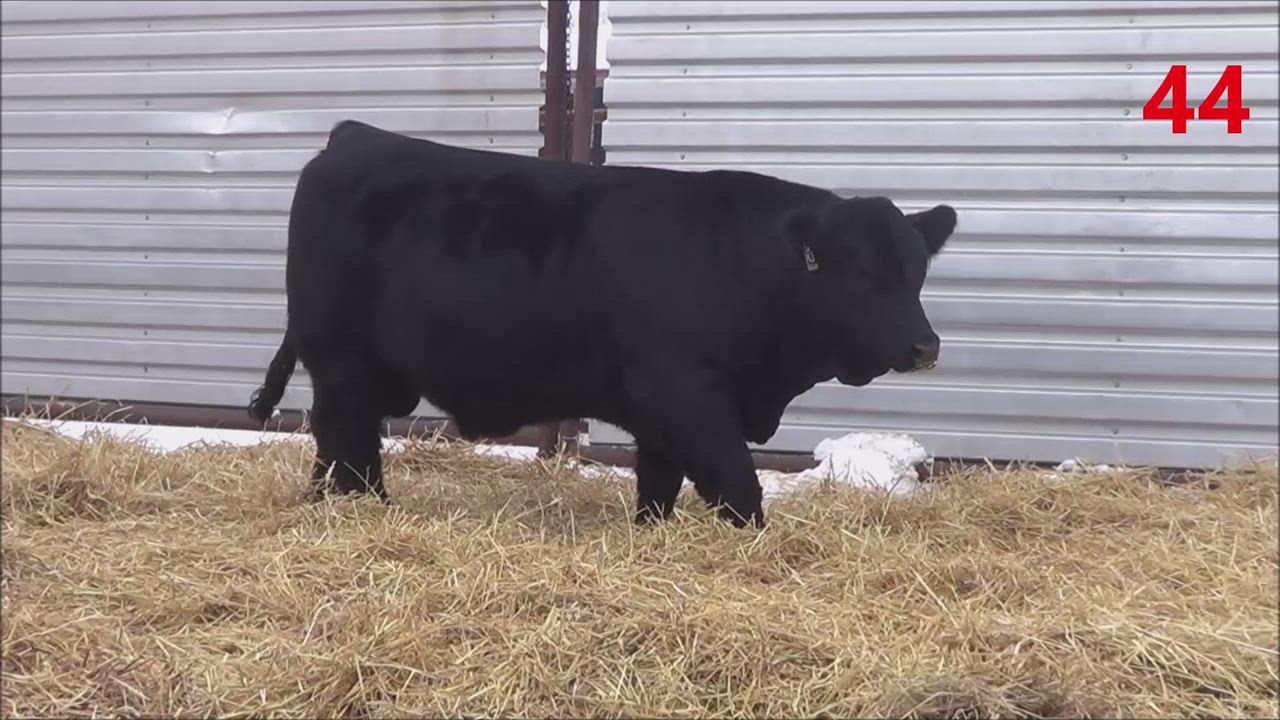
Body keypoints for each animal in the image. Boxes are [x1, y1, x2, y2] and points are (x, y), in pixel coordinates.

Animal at [248, 120, 956, 529]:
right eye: (863, 276)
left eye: (917, 274)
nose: (925, 345)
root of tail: (355, 136)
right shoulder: (691, 395)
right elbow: (737, 484)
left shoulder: (663, 412)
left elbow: (660, 486)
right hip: (342, 357)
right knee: (348, 440)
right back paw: (365, 509)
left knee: (340, 440)